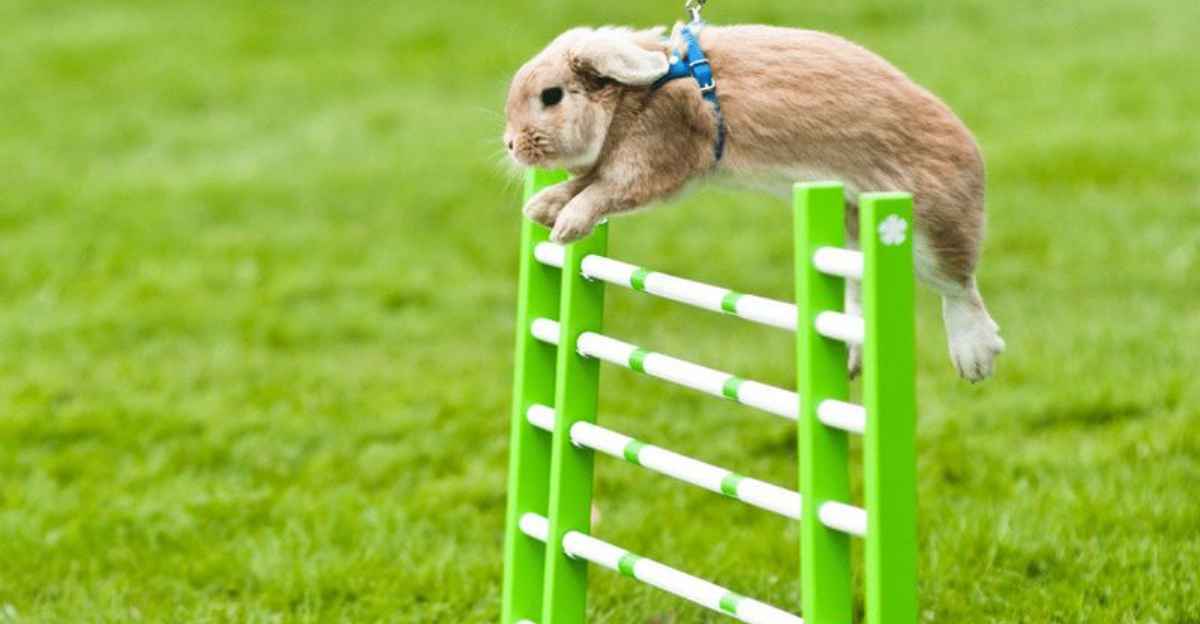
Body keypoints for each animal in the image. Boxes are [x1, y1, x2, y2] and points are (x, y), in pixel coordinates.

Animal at [503, 24, 1005, 382]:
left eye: (551, 96)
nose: (511, 145)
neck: (640, 92)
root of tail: (971, 150)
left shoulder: (650, 164)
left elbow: (599, 192)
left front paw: (566, 225)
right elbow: (582, 183)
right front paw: (542, 208)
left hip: (926, 233)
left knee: (958, 288)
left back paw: (976, 357)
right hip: (851, 234)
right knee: (857, 299)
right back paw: (851, 357)